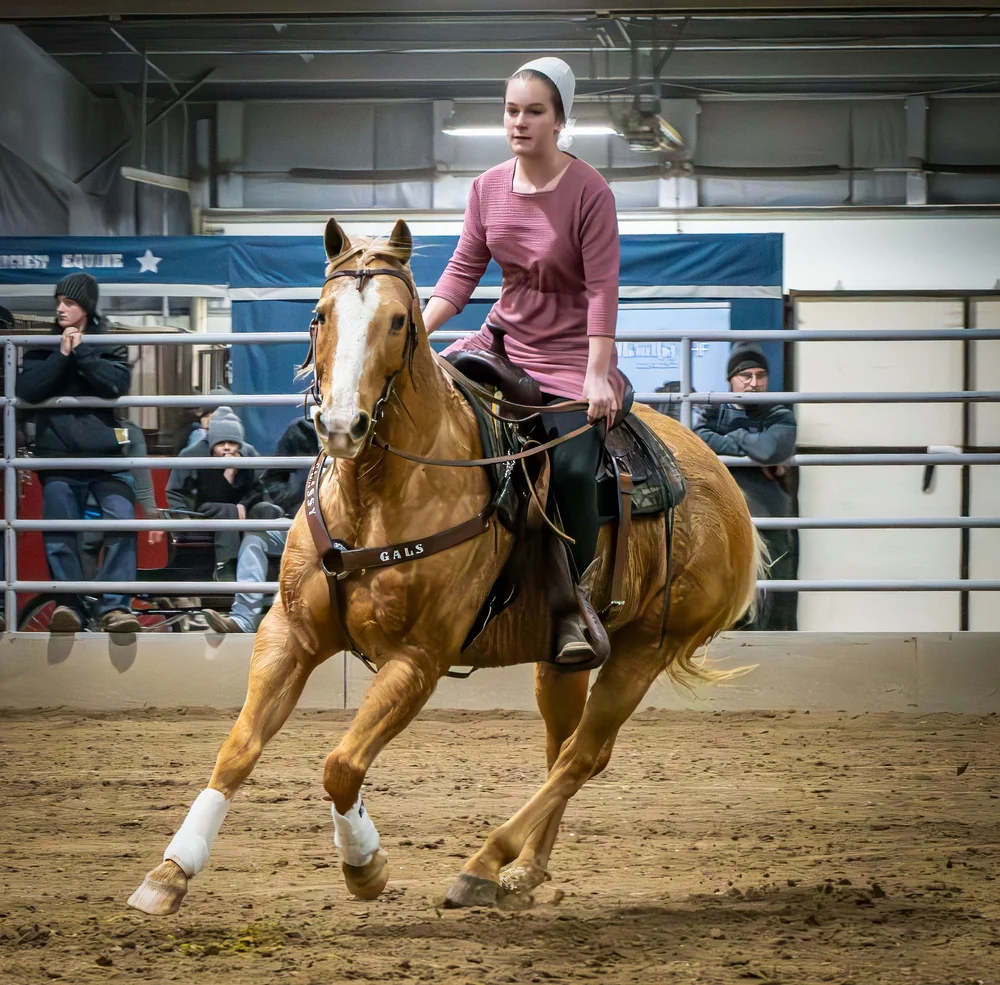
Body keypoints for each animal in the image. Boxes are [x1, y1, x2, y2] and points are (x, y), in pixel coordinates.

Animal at [128, 217, 764, 916]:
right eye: (320, 315)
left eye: (399, 321)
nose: (342, 424)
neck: (379, 494)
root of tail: (722, 487)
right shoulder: (288, 634)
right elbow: (238, 748)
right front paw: (171, 871)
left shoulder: (419, 658)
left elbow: (341, 764)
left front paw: (365, 864)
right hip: (563, 661)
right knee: (564, 749)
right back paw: (524, 872)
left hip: (644, 648)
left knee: (583, 755)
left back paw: (484, 863)